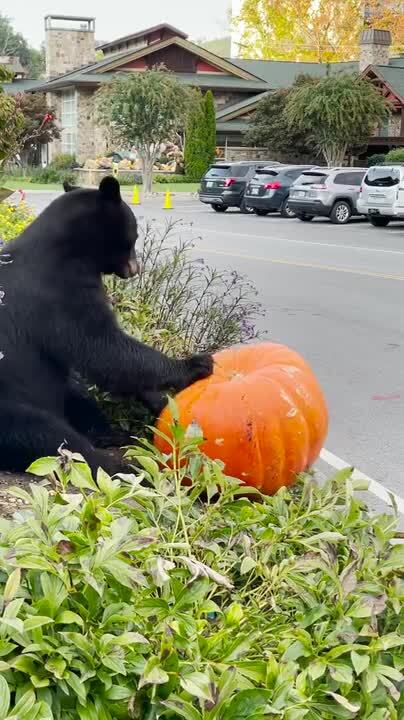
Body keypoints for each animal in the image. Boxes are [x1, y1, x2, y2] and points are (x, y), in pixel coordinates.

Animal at [0, 176, 213, 477]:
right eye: (134, 235)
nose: (136, 269)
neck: (70, 253)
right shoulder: (58, 294)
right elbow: (102, 346)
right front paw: (193, 364)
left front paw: (156, 396)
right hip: (9, 408)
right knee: (51, 438)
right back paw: (128, 468)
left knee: (78, 399)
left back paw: (110, 434)